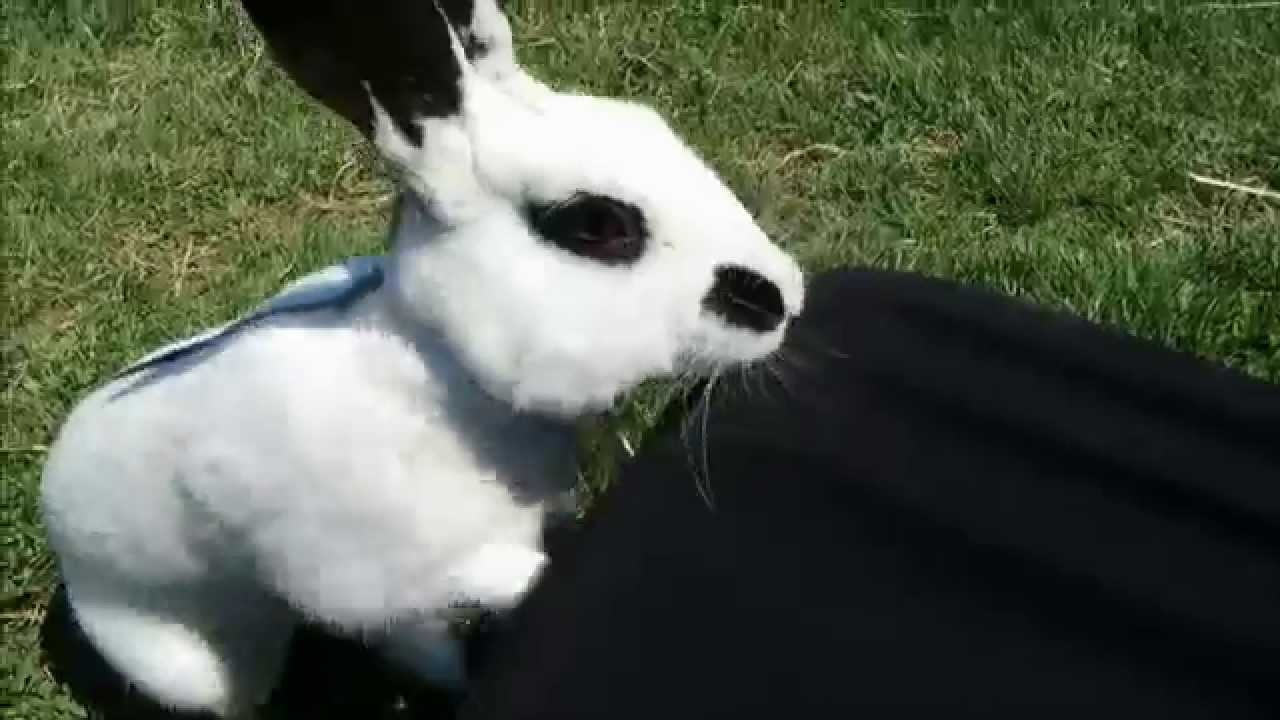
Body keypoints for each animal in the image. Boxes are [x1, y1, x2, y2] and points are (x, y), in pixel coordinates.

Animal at [39, 0, 806, 716]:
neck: (444, 385)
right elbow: (468, 588)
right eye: (596, 225)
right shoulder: (373, 568)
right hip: (182, 653)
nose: (784, 297)